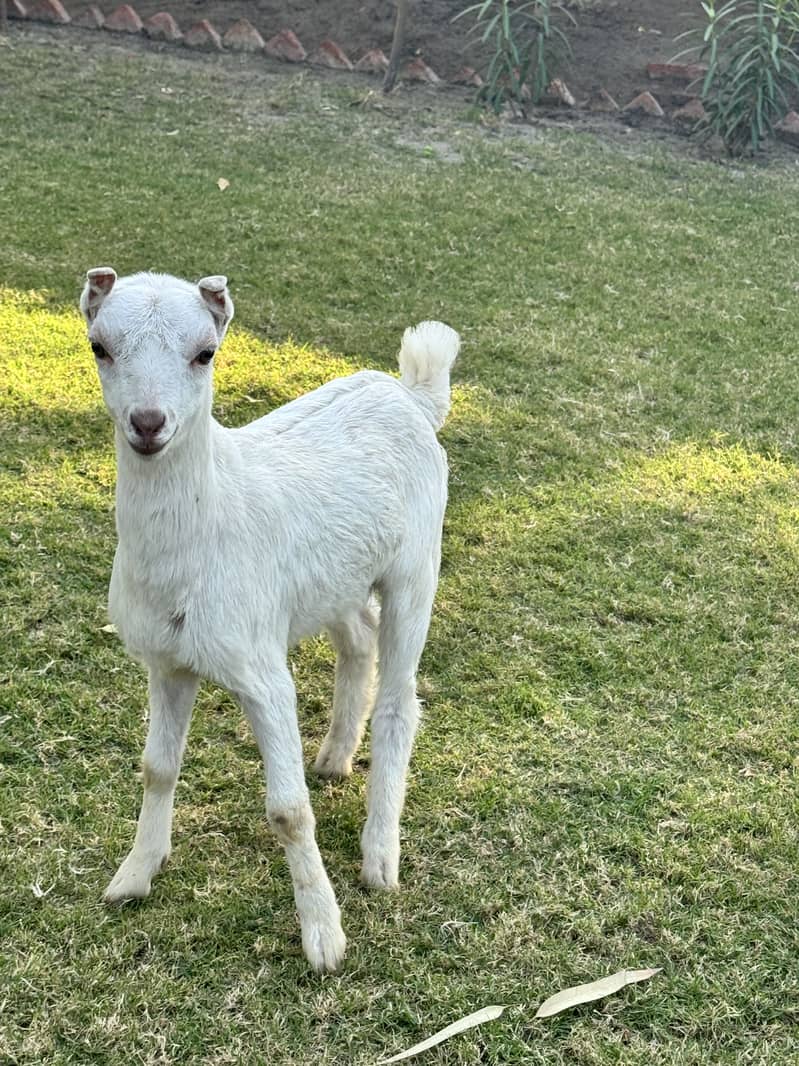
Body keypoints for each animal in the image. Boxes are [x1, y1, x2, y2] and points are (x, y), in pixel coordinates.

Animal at [80, 268, 459, 972]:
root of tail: (413, 395)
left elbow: (288, 811)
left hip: (417, 563)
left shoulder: (260, 667)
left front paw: (325, 939)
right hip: (330, 580)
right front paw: (133, 876)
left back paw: (379, 857)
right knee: (359, 638)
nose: (148, 423)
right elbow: (157, 767)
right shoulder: (167, 660)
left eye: (206, 353)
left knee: (401, 699)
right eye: (99, 347)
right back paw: (334, 756)